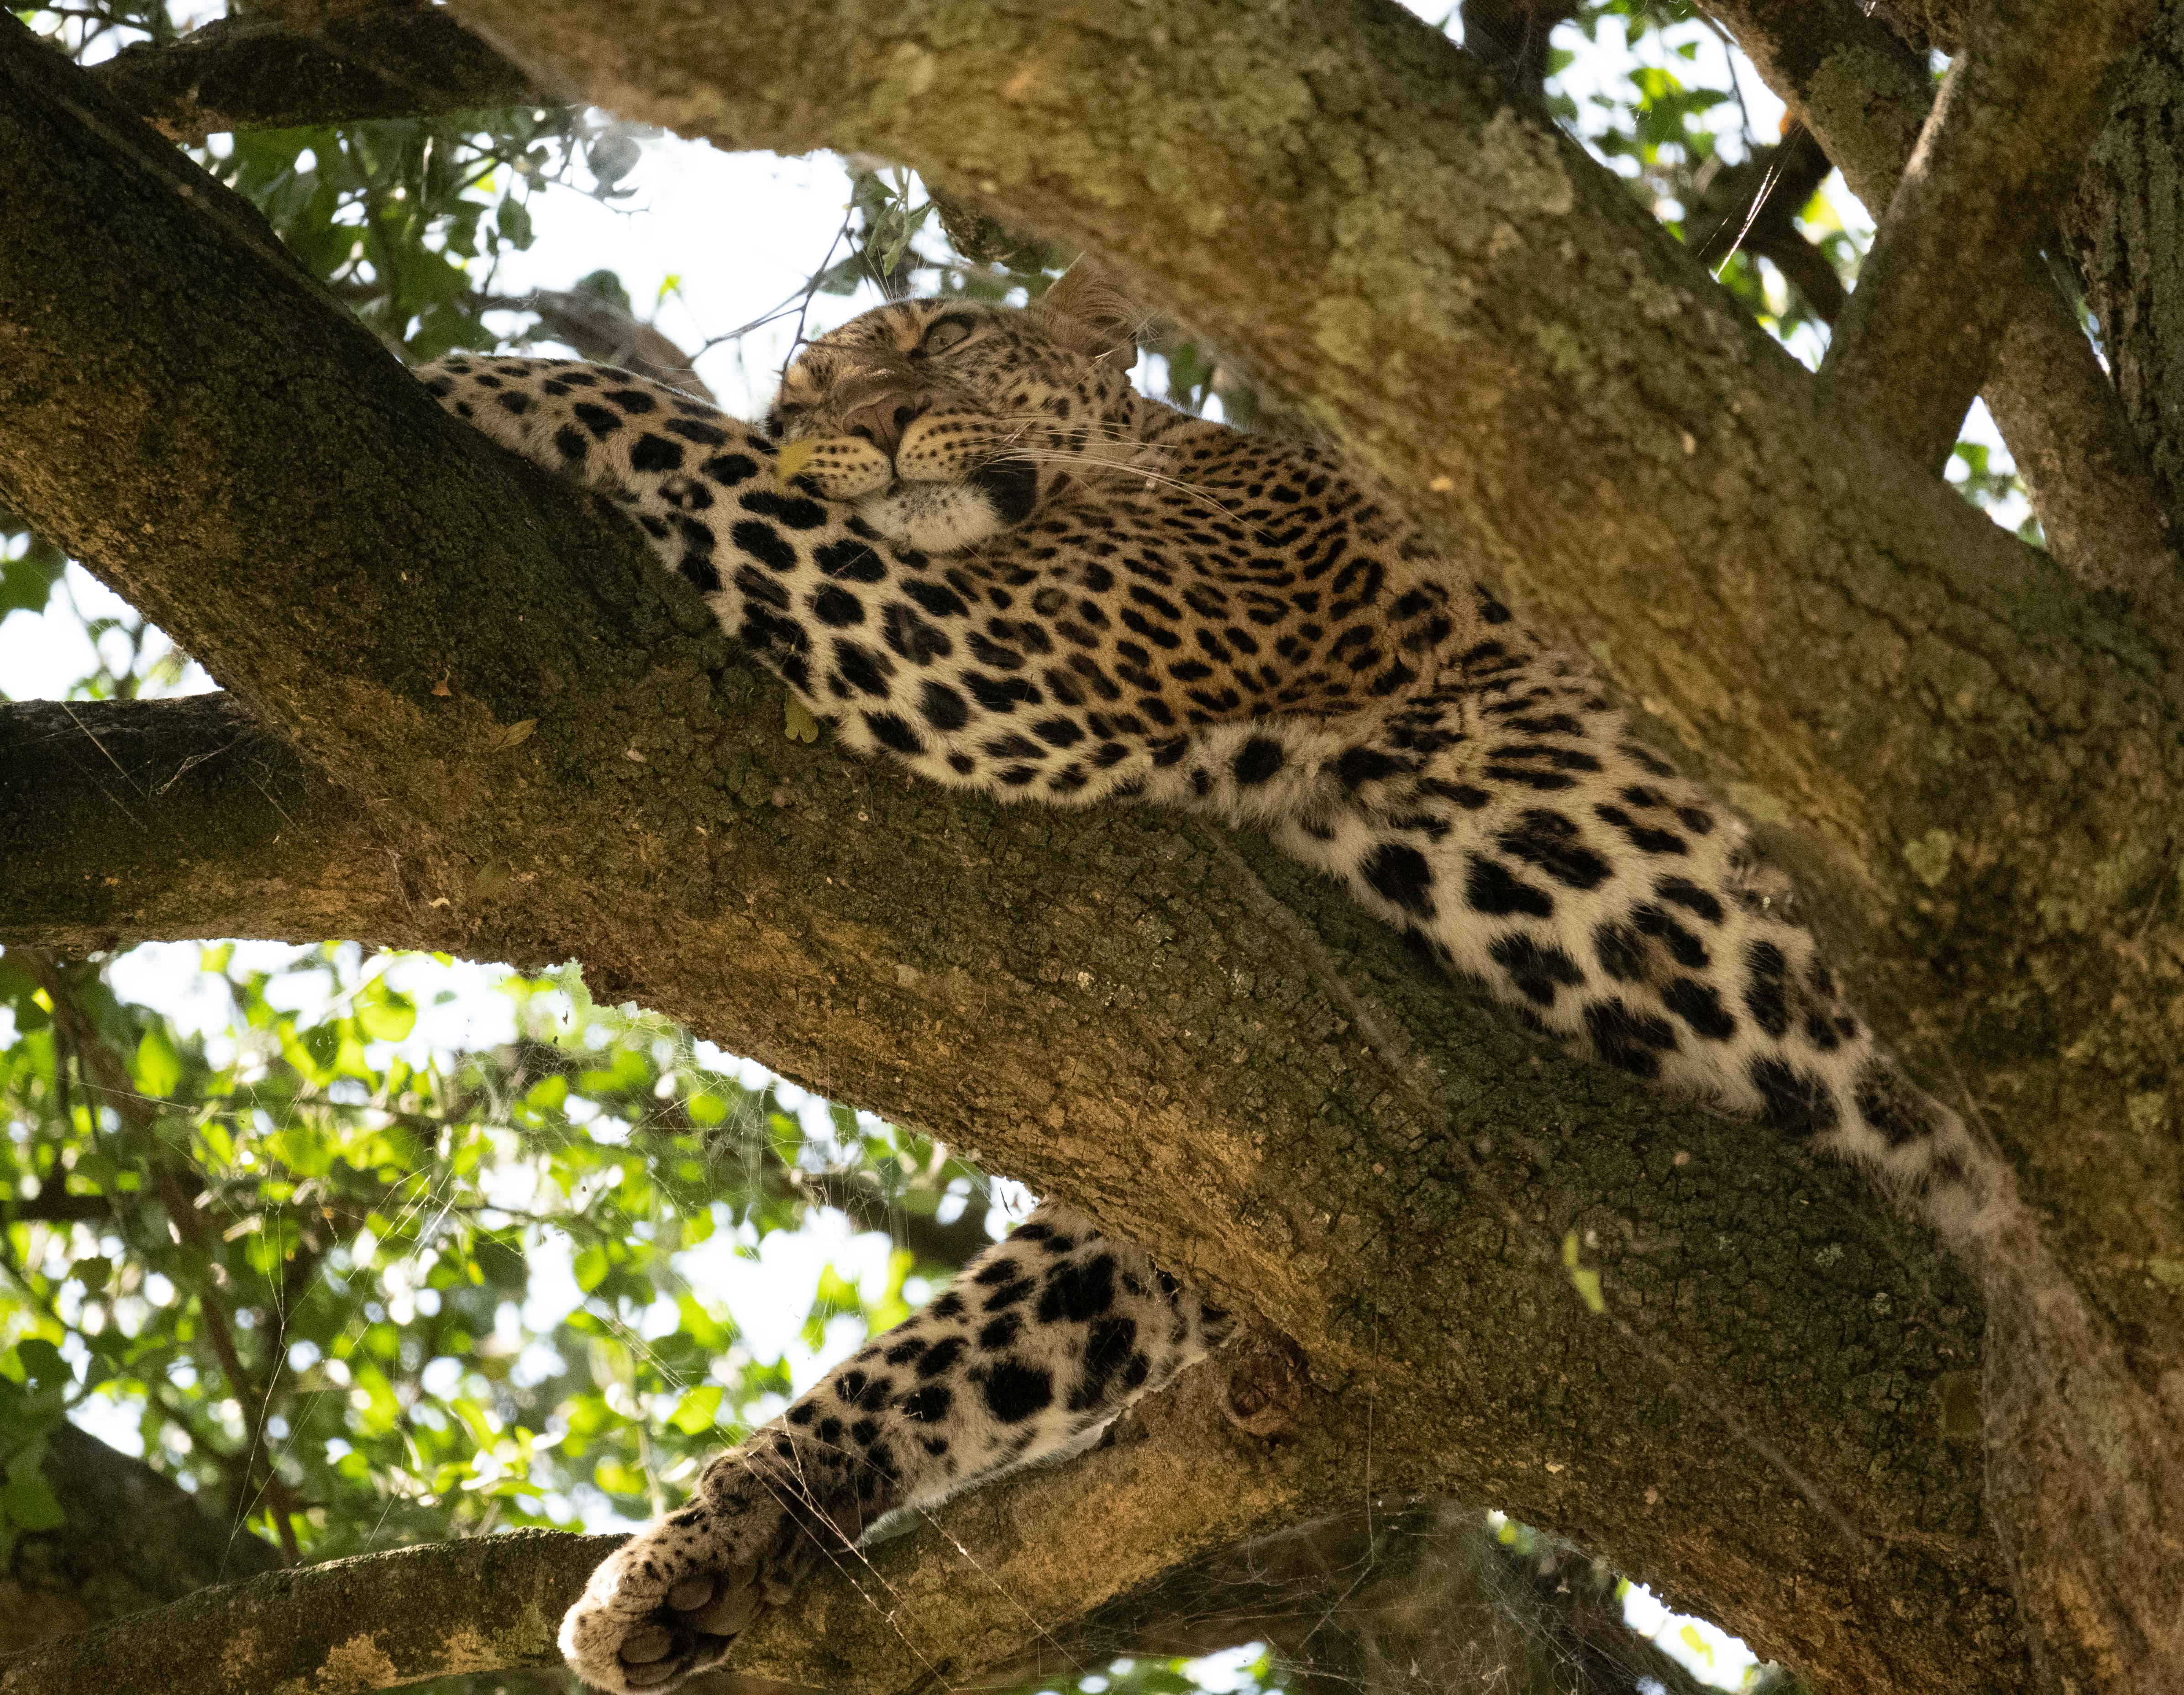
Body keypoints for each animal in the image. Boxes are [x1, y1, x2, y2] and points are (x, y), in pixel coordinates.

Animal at [421, 265, 2005, 1693]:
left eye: (946, 337)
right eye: (804, 393)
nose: (866, 425)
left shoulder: (1012, 660)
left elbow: (702, 451)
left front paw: (481, 374)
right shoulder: (1201, 1171)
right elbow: (960, 1346)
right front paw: (703, 1546)